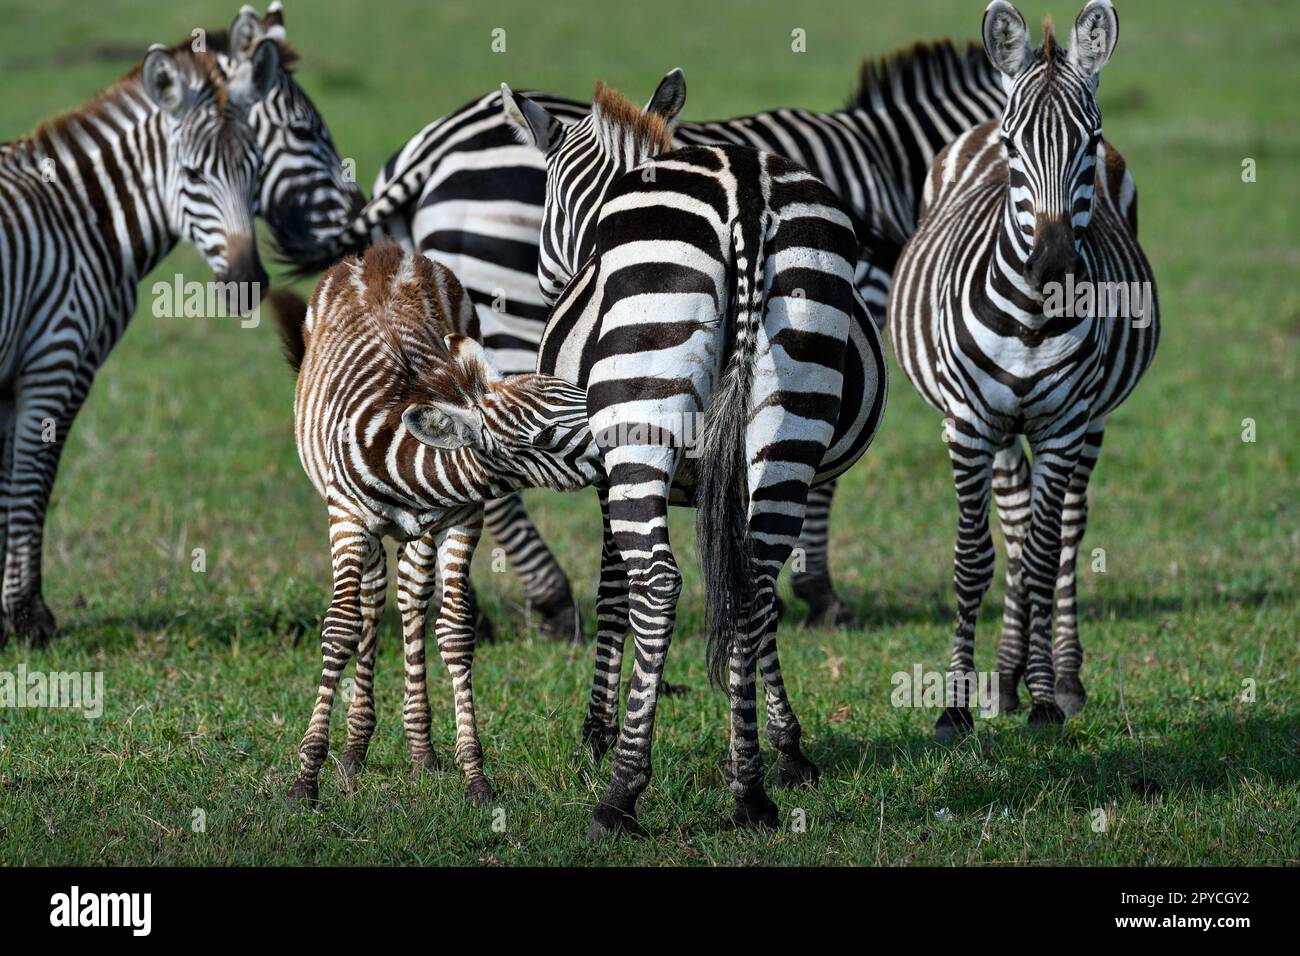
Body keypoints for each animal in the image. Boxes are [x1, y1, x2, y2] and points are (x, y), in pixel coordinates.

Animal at [0, 34, 280, 647]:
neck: (78, 218)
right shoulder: (54, 359)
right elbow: (31, 481)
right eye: (194, 174)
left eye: (256, 171)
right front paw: (28, 617)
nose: (248, 282)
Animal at [275, 244, 601, 807]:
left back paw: (420, 750)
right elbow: (340, 627)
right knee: (370, 601)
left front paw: (474, 775)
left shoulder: (461, 518)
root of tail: (383, 252)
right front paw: (306, 776)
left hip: (419, 534)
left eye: (574, 392)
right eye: (546, 436)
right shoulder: (347, 518)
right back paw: (355, 749)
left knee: (409, 599)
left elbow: (454, 630)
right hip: (366, 529)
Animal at [503, 74, 888, 836]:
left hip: (641, 422)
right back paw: (751, 793)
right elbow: (748, 601)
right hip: (792, 407)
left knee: (657, 583)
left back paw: (622, 792)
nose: (550, 282)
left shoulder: (601, 469)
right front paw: (784, 747)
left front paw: (594, 736)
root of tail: (748, 191)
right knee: (757, 581)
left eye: (548, 198)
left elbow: (612, 593)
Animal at [887, 0, 1158, 738]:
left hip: (1092, 418)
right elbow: (974, 556)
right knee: (1010, 522)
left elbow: (1041, 552)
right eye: (1014, 149)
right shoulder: (968, 423)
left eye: (1090, 143)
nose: (1055, 269)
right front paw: (955, 704)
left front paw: (1044, 699)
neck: (1033, 320)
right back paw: (1003, 677)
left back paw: (1058, 676)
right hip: (1000, 426)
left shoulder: (1065, 423)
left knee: (1063, 530)